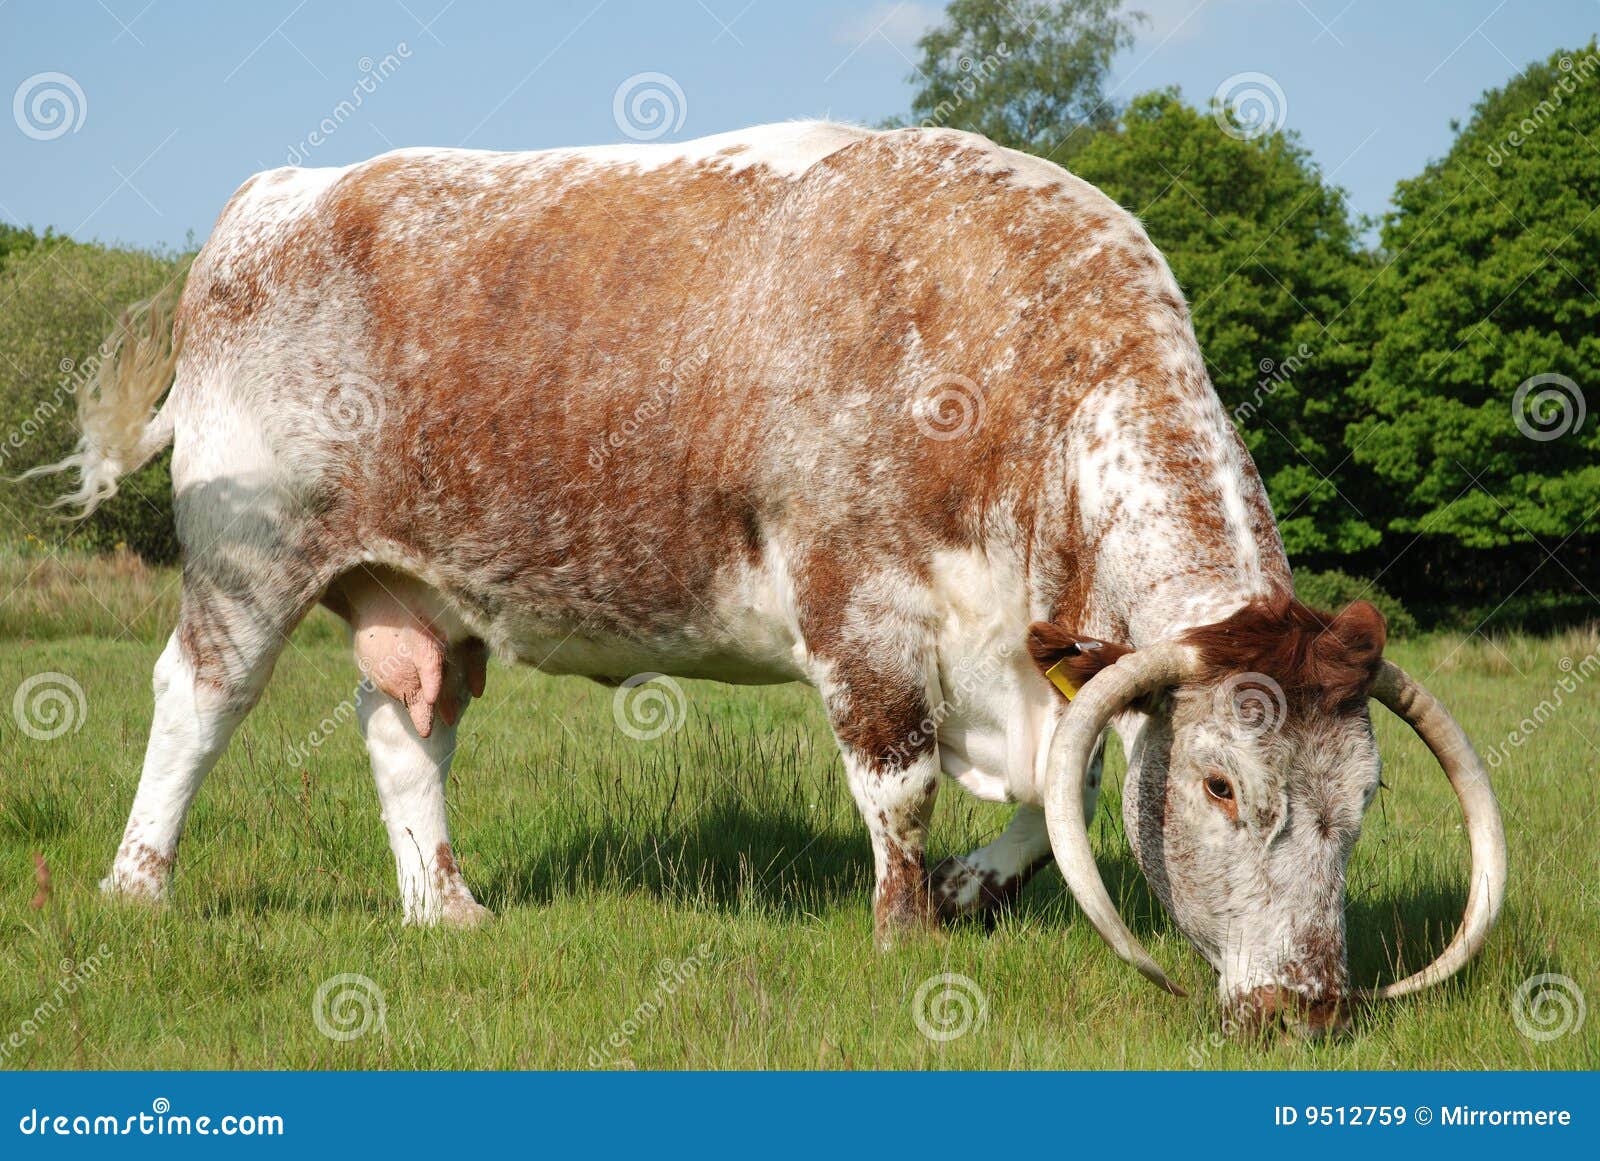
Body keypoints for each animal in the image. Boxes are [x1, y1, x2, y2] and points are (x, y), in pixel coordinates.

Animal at [34, 121, 1505, 1034]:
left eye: (1366, 799)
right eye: (1219, 786)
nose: (1308, 1006)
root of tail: (278, 193)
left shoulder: (1042, 666)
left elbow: (1061, 789)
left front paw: (969, 890)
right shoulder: (864, 615)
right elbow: (897, 784)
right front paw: (906, 934)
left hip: (425, 592)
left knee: (404, 727)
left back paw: (444, 908)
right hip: (249, 556)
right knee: (197, 701)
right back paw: (139, 886)